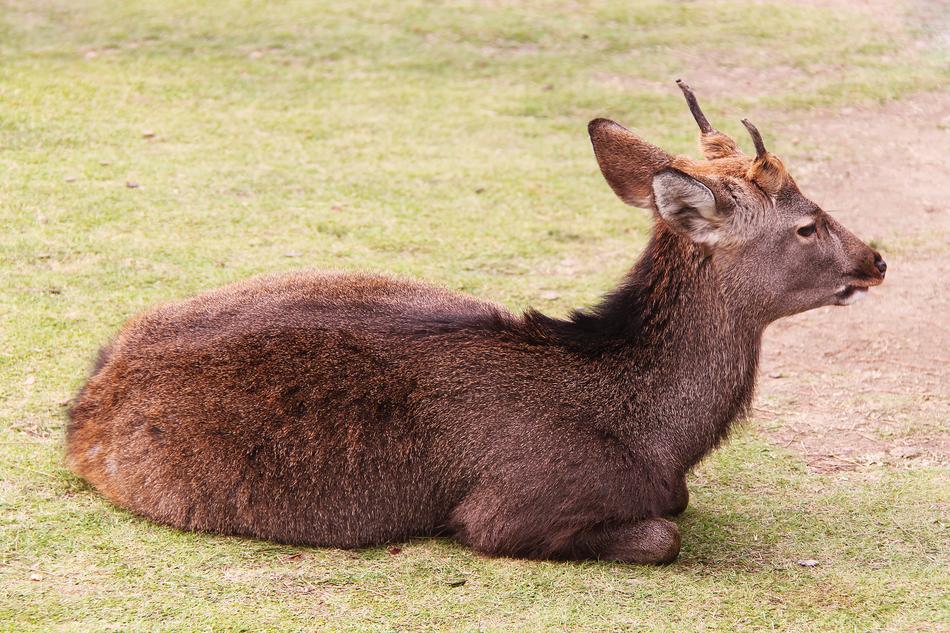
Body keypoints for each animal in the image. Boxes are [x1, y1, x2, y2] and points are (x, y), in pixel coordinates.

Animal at [66, 81, 886, 564]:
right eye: (808, 224)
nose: (875, 258)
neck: (659, 437)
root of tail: (86, 401)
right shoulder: (506, 511)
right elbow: (664, 533)